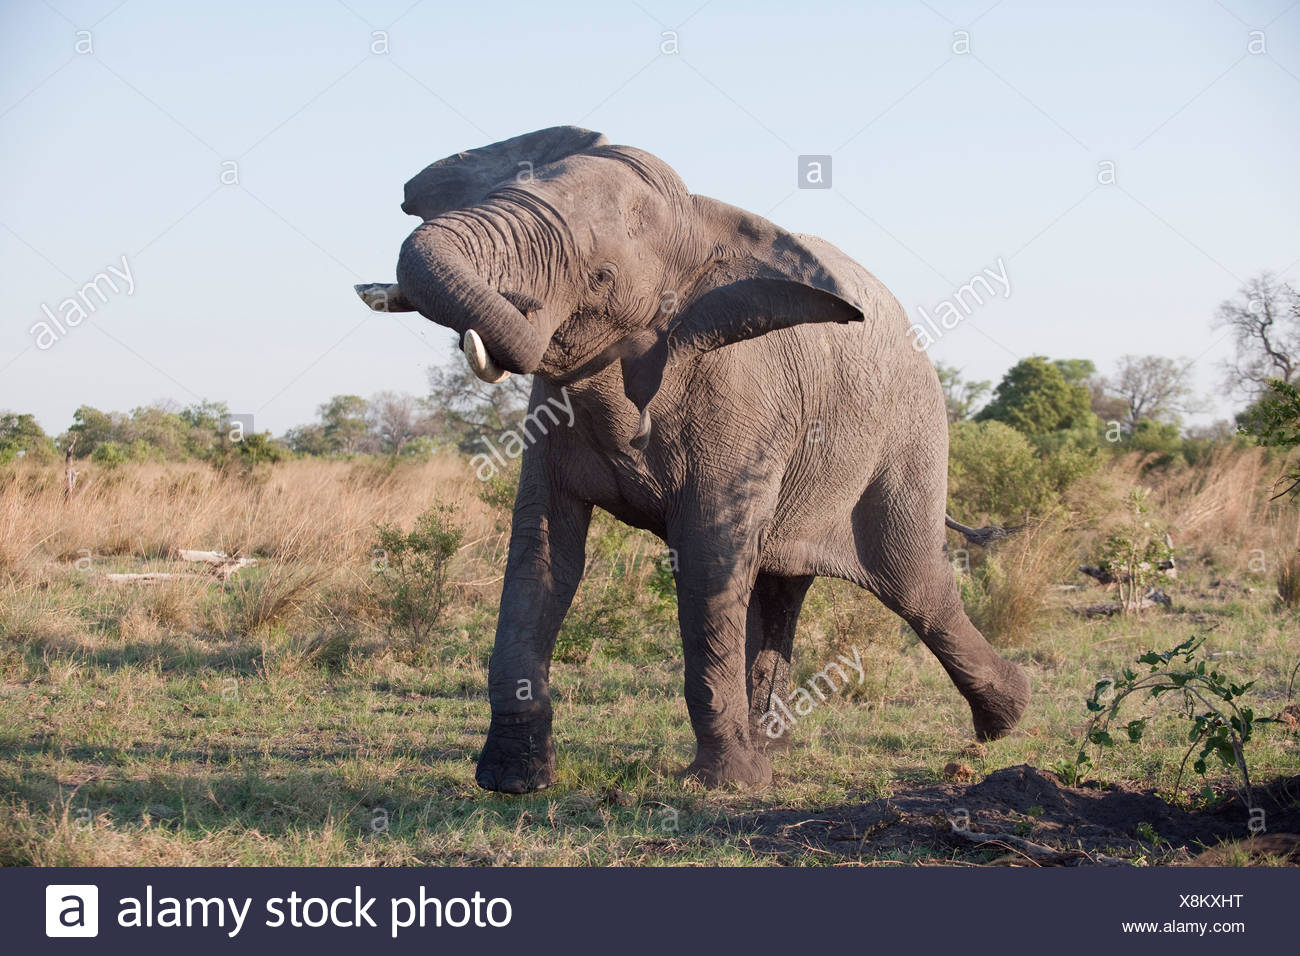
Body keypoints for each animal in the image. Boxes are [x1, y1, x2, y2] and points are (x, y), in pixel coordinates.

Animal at [355, 126, 1030, 793]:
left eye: (600, 278)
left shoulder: (739, 404)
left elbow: (707, 563)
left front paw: (727, 786)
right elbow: (543, 554)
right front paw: (512, 781)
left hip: (907, 443)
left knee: (916, 583)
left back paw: (1007, 719)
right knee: (781, 586)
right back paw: (771, 748)